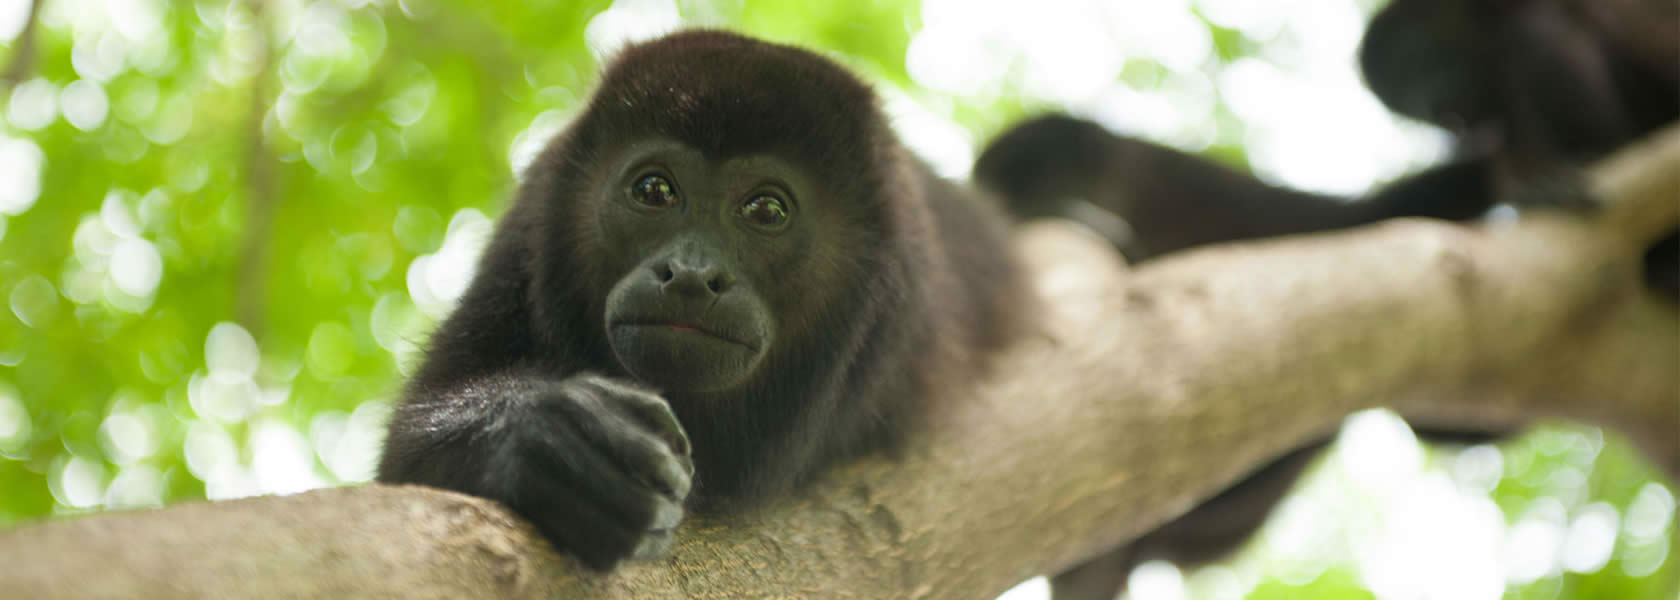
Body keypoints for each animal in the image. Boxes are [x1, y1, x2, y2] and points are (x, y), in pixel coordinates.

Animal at [376, 30, 1028, 570]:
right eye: (653, 190)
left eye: (766, 210)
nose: (691, 274)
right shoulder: (528, 232)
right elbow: (404, 457)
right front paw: (547, 439)